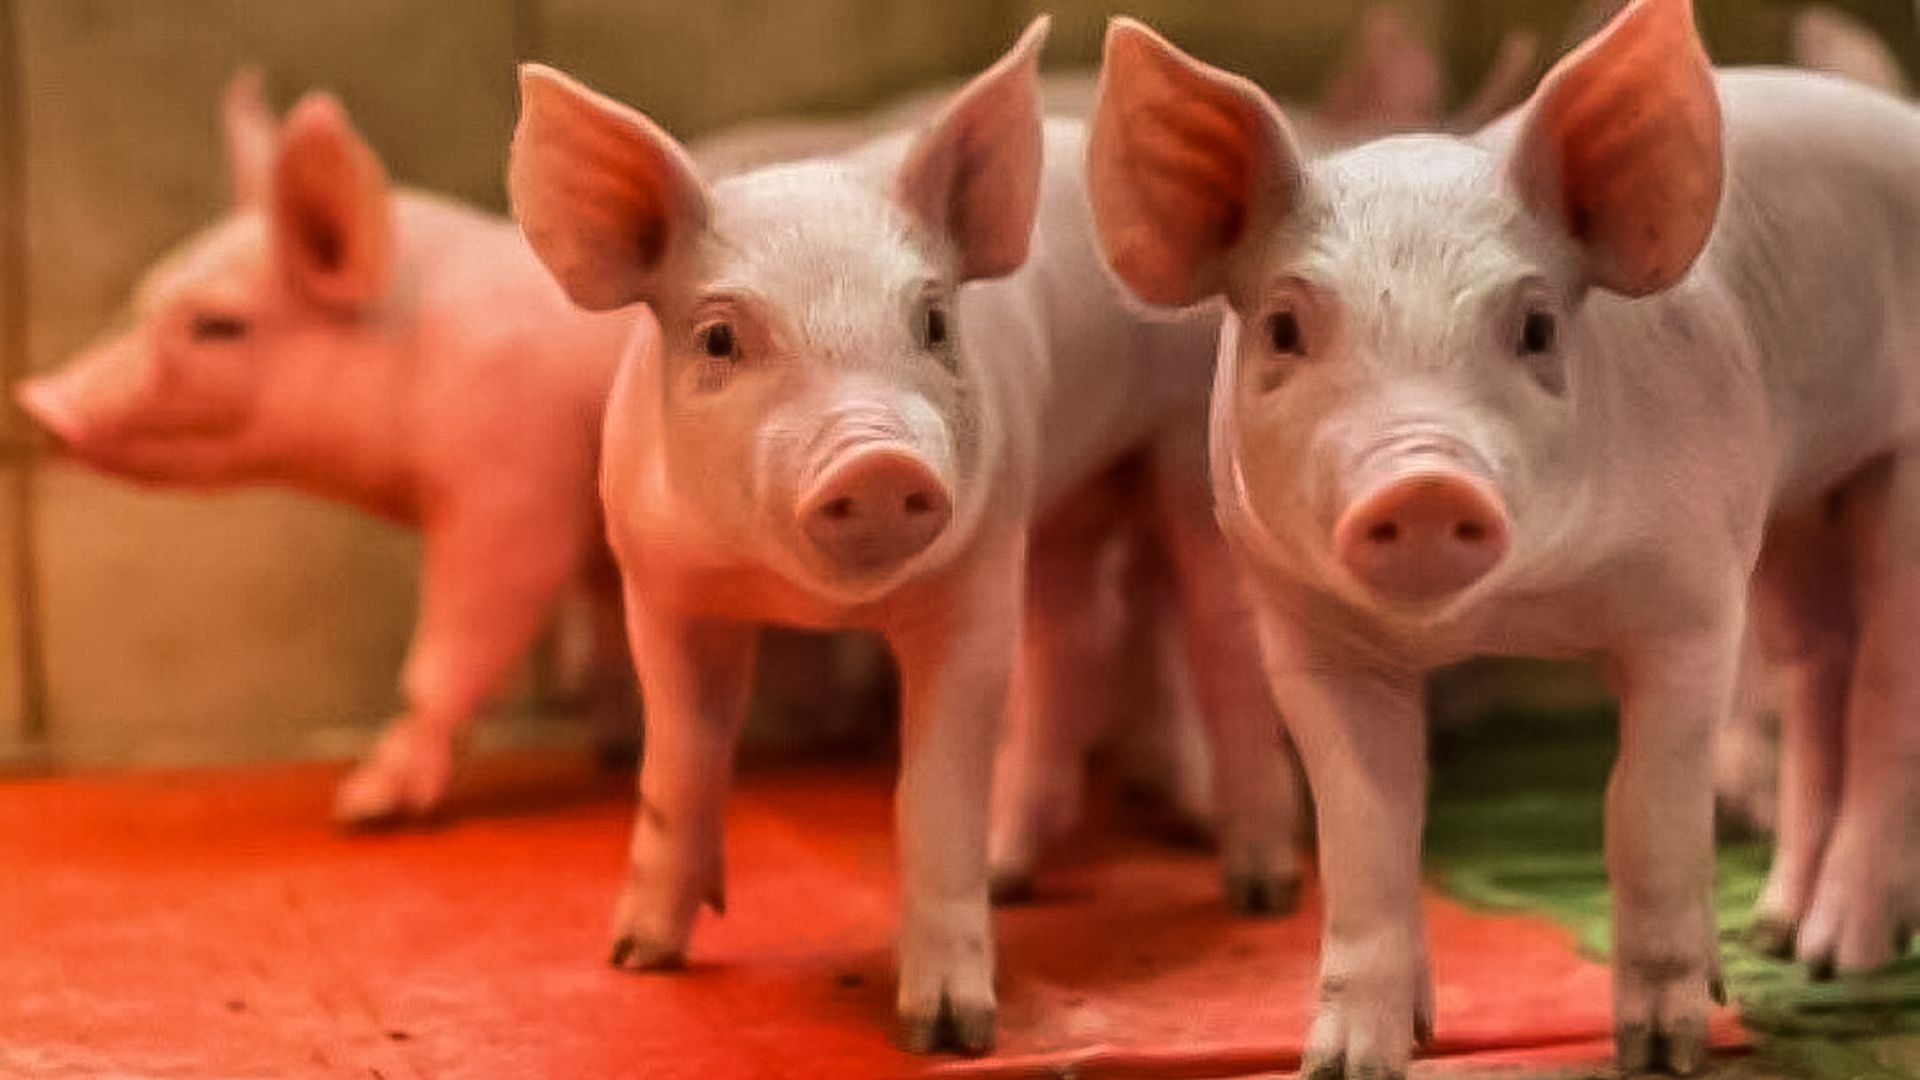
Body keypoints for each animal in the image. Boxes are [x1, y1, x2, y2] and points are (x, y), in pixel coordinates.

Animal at [17, 73, 639, 825]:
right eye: (148, 294)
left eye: (218, 325)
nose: (38, 401)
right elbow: (613, 630)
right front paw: (616, 749)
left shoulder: (513, 486)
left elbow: (461, 636)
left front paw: (364, 806)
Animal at [508, 17, 1306, 1053]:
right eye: (719, 338)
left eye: (931, 321)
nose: (877, 461)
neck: (808, 601)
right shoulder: (662, 585)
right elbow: (680, 756)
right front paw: (639, 959)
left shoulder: (967, 583)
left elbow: (931, 792)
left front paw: (951, 1035)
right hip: (1053, 498)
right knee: (1068, 634)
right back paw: (1013, 873)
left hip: (1179, 449)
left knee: (1220, 639)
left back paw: (1260, 890)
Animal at [1087, 0, 1920, 1074]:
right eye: (1282, 327)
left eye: (1535, 327)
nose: (1425, 478)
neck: (1512, 615)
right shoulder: (1307, 633)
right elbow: (1367, 833)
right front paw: (1352, 1058)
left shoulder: (1689, 602)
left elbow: (1644, 813)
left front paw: (1663, 1051)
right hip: (1794, 506)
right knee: (1820, 670)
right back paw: (1778, 932)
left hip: (1898, 472)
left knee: (1885, 691)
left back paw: (1834, 956)